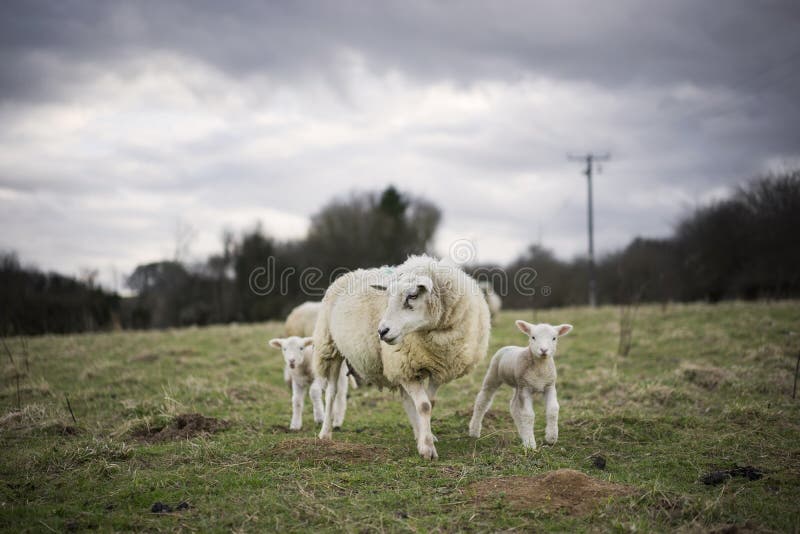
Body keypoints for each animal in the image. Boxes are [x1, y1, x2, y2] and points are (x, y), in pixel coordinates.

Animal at [313, 254, 491, 460]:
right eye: (387, 297)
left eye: (412, 295)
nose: (382, 332)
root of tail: (351, 272)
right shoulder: (403, 365)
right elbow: (423, 405)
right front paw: (427, 448)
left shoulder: (436, 368)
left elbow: (428, 403)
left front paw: (424, 438)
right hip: (331, 347)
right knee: (332, 393)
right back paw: (325, 433)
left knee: (407, 399)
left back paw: (419, 432)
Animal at [469, 320, 573, 449]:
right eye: (533, 337)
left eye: (554, 338)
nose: (543, 350)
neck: (540, 369)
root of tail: (509, 346)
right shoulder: (526, 388)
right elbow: (528, 415)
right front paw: (530, 444)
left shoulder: (549, 386)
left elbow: (553, 410)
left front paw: (551, 437)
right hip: (494, 374)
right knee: (483, 401)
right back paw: (474, 431)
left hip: (518, 385)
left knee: (514, 407)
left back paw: (522, 432)